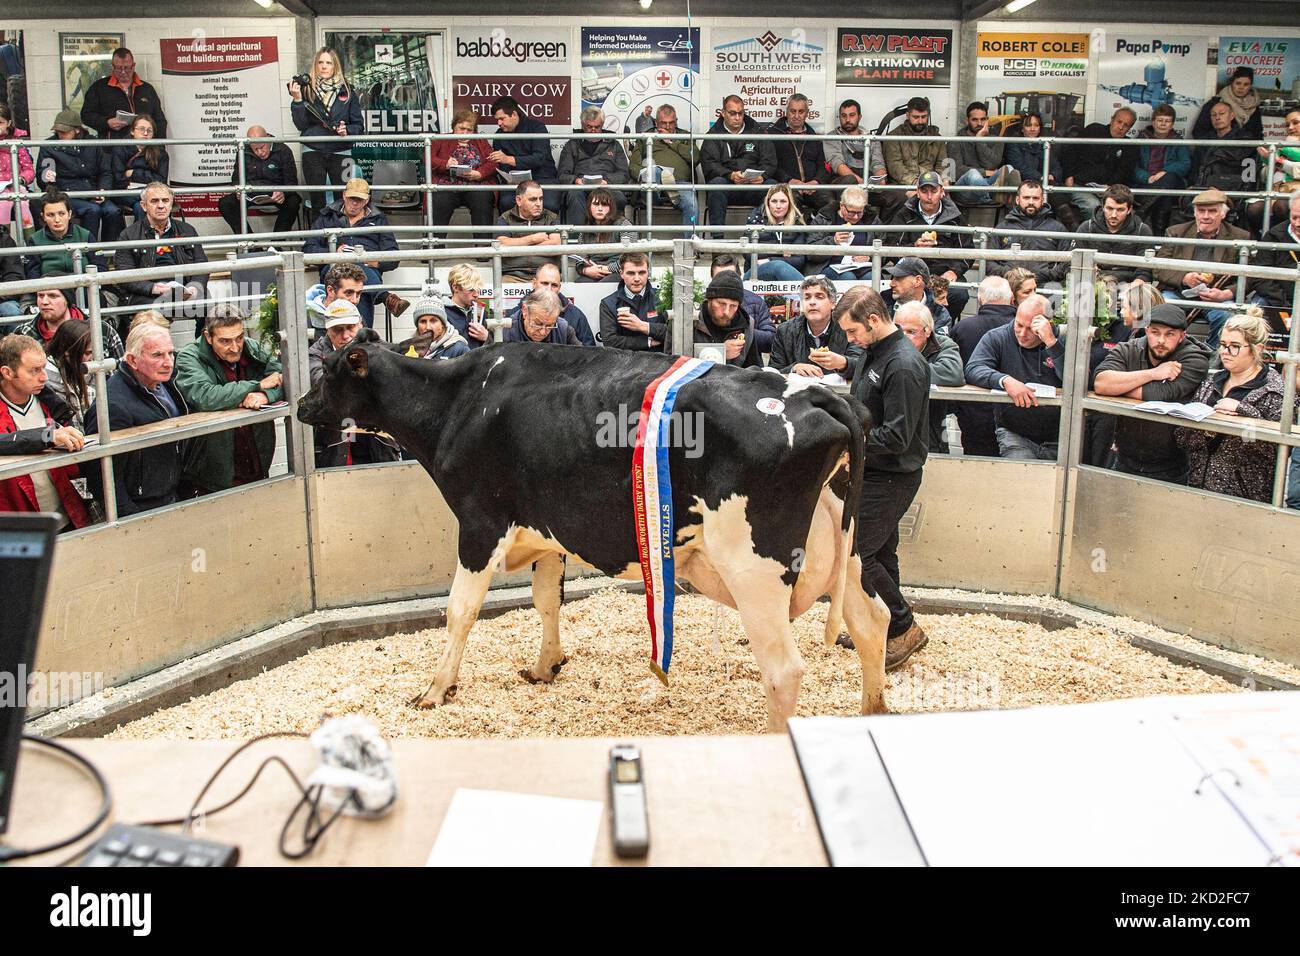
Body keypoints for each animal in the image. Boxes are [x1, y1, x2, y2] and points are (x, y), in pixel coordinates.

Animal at [297, 340, 889, 728]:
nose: (301, 405)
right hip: (843, 544)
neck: (458, 401)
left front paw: (436, 689)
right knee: (871, 618)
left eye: (329, 370)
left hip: (754, 566)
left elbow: (459, 610)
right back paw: (874, 710)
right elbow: (545, 600)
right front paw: (546, 665)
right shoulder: (546, 531)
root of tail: (821, 395)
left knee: (785, 668)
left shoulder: (480, 524)